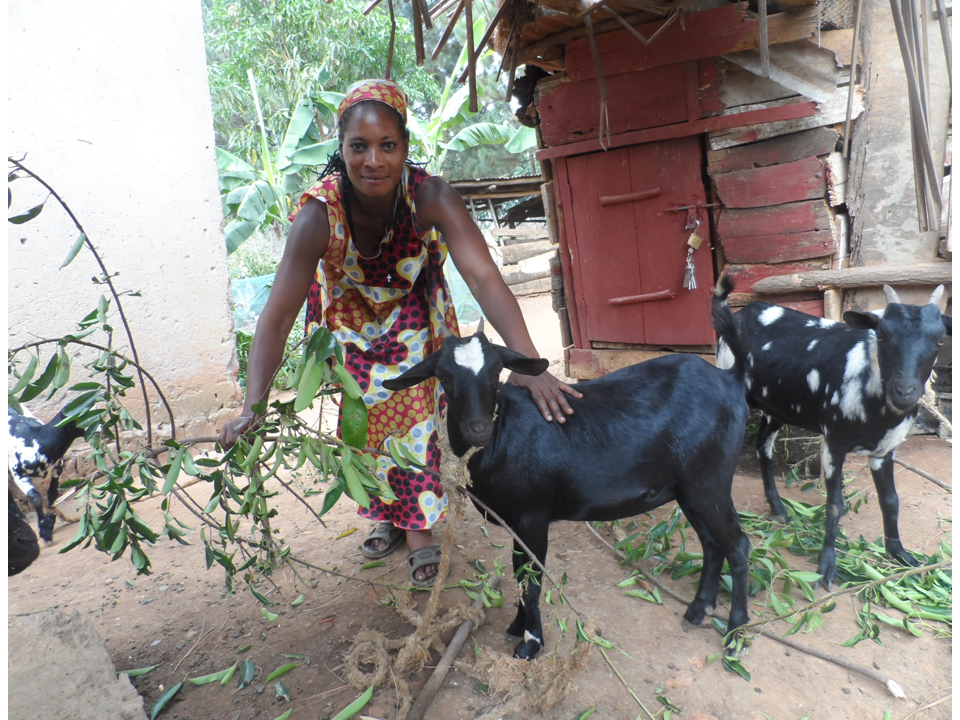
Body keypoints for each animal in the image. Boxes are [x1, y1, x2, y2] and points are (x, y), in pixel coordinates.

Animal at [7, 408, 85, 544]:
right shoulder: (18, 473)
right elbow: (36, 498)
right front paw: (44, 531)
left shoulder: (58, 465)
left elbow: (53, 493)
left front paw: (50, 522)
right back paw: (21, 518)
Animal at [386, 324, 752, 660]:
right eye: (444, 377)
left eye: (495, 371)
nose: (478, 429)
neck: (502, 435)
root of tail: (730, 379)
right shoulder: (515, 522)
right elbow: (519, 572)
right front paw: (518, 626)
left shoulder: (532, 516)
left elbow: (532, 579)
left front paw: (530, 643)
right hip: (689, 488)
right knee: (712, 544)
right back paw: (699, 609)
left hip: (710, 480)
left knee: (737, 545)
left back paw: (735, 637)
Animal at [708, 278, 948, 588]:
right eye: (881, 335)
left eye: (940, 339)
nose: (904, 391)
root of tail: (740, 312)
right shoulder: (834, 441)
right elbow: (834, 505)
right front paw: (826, 567)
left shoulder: (885, 449)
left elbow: (891, 501)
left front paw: (899, 553)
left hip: (776, 408)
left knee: (762, 446)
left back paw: (778, 508)